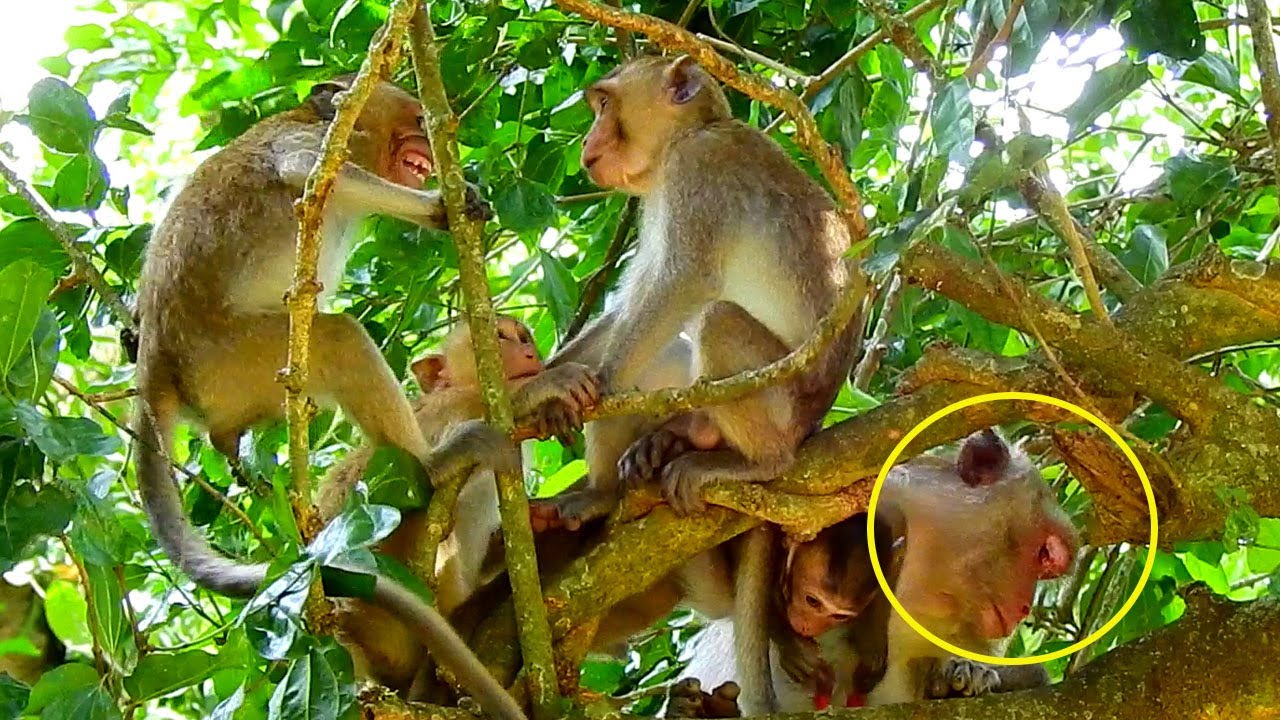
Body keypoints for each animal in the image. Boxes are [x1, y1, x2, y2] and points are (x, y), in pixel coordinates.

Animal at [131, 75, 531, 720]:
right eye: (413, 117)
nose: (430, 140)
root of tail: (156, 362)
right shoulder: (306, 142)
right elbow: (306, 170)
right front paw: (441, 207)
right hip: (233, 356)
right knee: (339, 337)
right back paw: (432, 466)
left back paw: (231, 442)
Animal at [528, 54, 856, 534]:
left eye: (604, 104)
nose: (588, 138)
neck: (684, 137)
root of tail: (812, 424)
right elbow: (636, 296)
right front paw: (548, 384)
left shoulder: (699, 168)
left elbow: (684, 281)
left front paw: (601, 382)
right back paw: (610, 488)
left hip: (783, 405)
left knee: (718, 319)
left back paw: (760, 461)